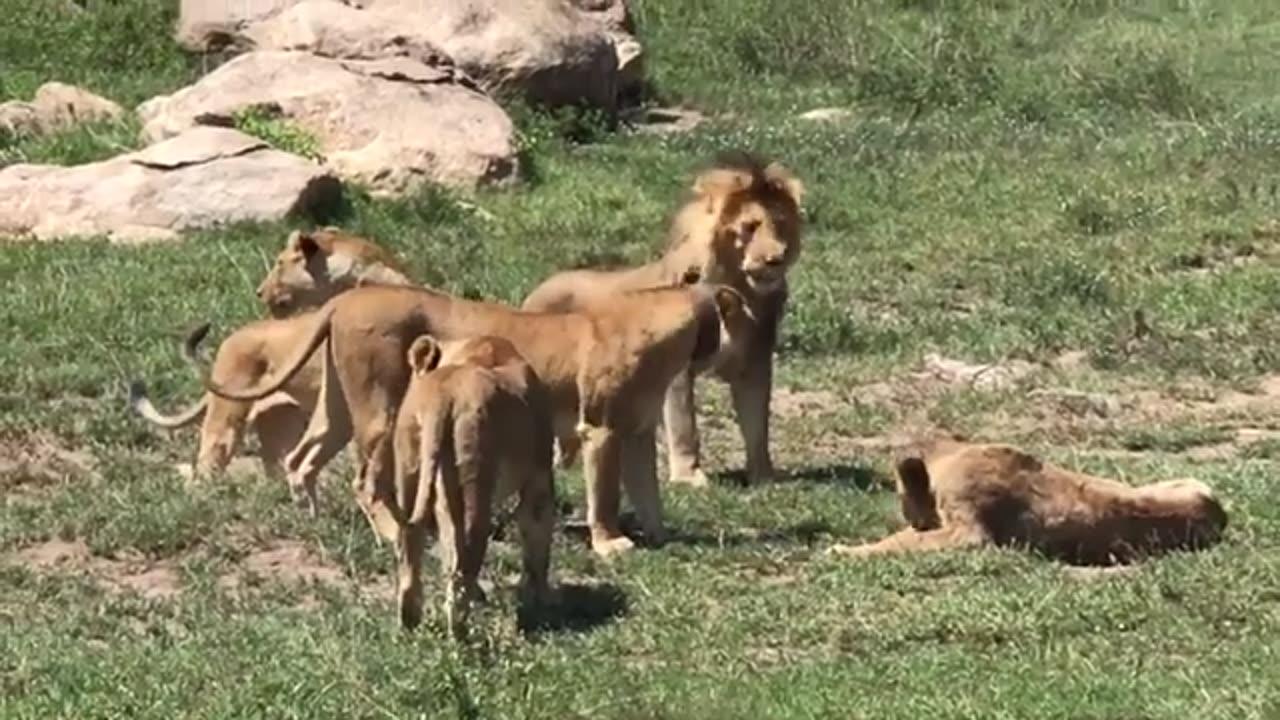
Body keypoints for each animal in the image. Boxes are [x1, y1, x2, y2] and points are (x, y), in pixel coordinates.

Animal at [129, 227, 414, 484]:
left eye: (279, 263)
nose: (259, 291)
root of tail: (230, 340)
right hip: (228, 414)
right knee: (210, 460)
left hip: (280, 420)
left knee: (279, 468)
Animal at [203, 282, 756, 558]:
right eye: (746, 316)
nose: (754, 349)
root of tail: (344, 297)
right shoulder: (601, 429)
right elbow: (605, 493)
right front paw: (611, 544)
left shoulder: (637, 432)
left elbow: (648, 490)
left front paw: (661, 535)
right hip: (382, 410)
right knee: (363, 480)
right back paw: (393, 535)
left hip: (339, 409)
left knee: (301, 459)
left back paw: (312, 520)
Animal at [393, 334, 555, 635]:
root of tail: (444, 395)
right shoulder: (540, 473)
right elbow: (537, 534)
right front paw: (541, 599)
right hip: (472, 469)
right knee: (465, 549)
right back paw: (459, 630)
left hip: (409, 467)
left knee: (412, 539)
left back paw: (409, 617)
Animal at [522, 152, 803, 486]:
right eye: (750, 226)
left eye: (781, 224)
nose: (776, 259)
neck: (738, 290)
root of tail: (535, 291)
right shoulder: (679, 370)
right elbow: (685, 425)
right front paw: (689, 478)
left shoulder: (755, 361)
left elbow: (757, 424)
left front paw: (764, 477)